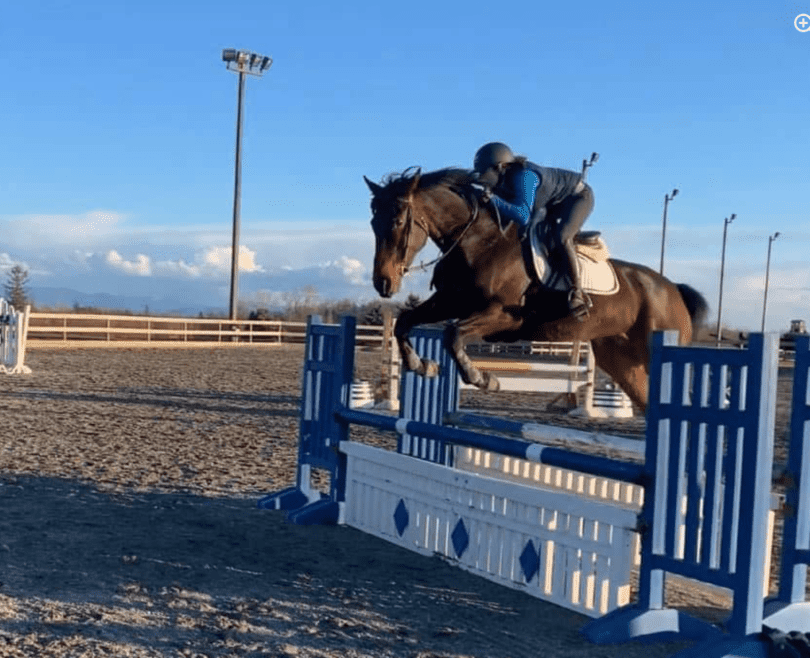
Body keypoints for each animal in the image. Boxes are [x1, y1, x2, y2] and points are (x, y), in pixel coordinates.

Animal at [363, 167, 709, 410]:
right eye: (372, 223)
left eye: (398, 222)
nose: (383, 283)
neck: (478, 243)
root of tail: (672, 289)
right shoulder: (449, 302)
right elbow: (405, 322)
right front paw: (422, 366)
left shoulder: (505, 316)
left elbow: (452, 334)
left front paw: (482, 378)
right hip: (621, 361)